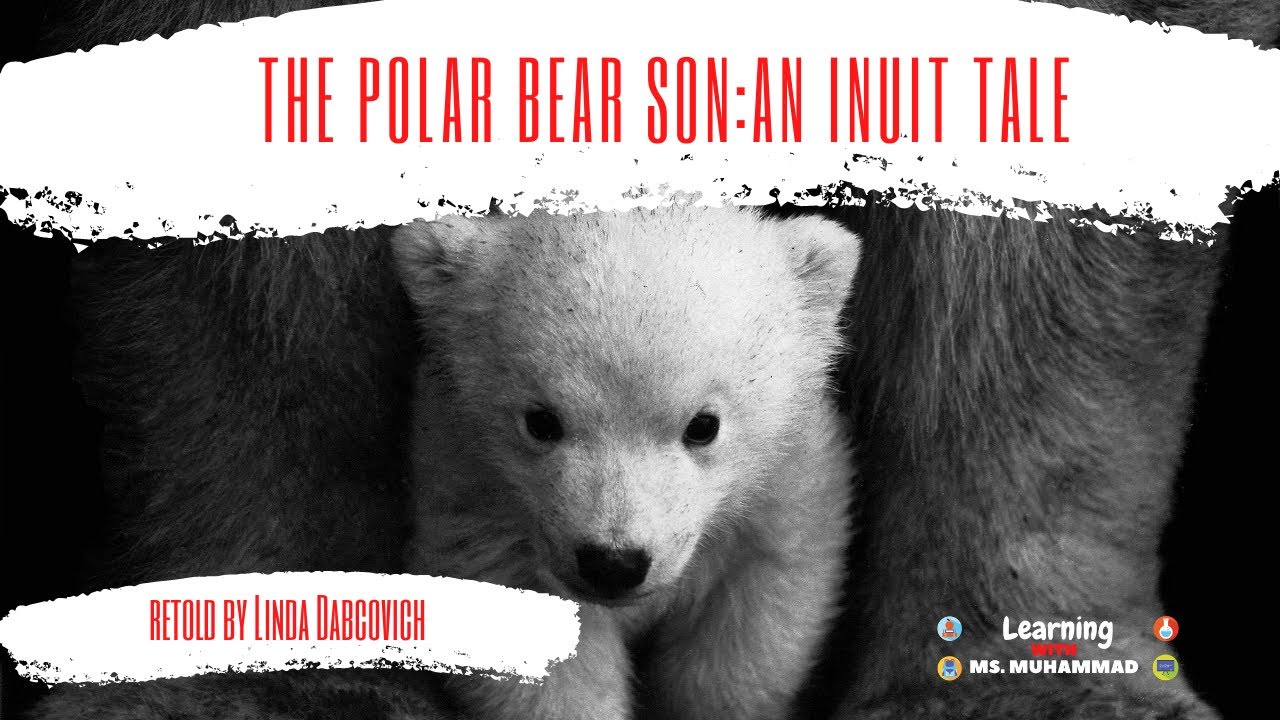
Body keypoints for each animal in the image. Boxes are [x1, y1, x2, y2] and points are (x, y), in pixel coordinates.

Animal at [389, 207, 859, 720]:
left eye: (703, 425)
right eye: (541, 421)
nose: (613, 563)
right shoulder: (477, 504)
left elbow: (741, 648)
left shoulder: (783, 500)